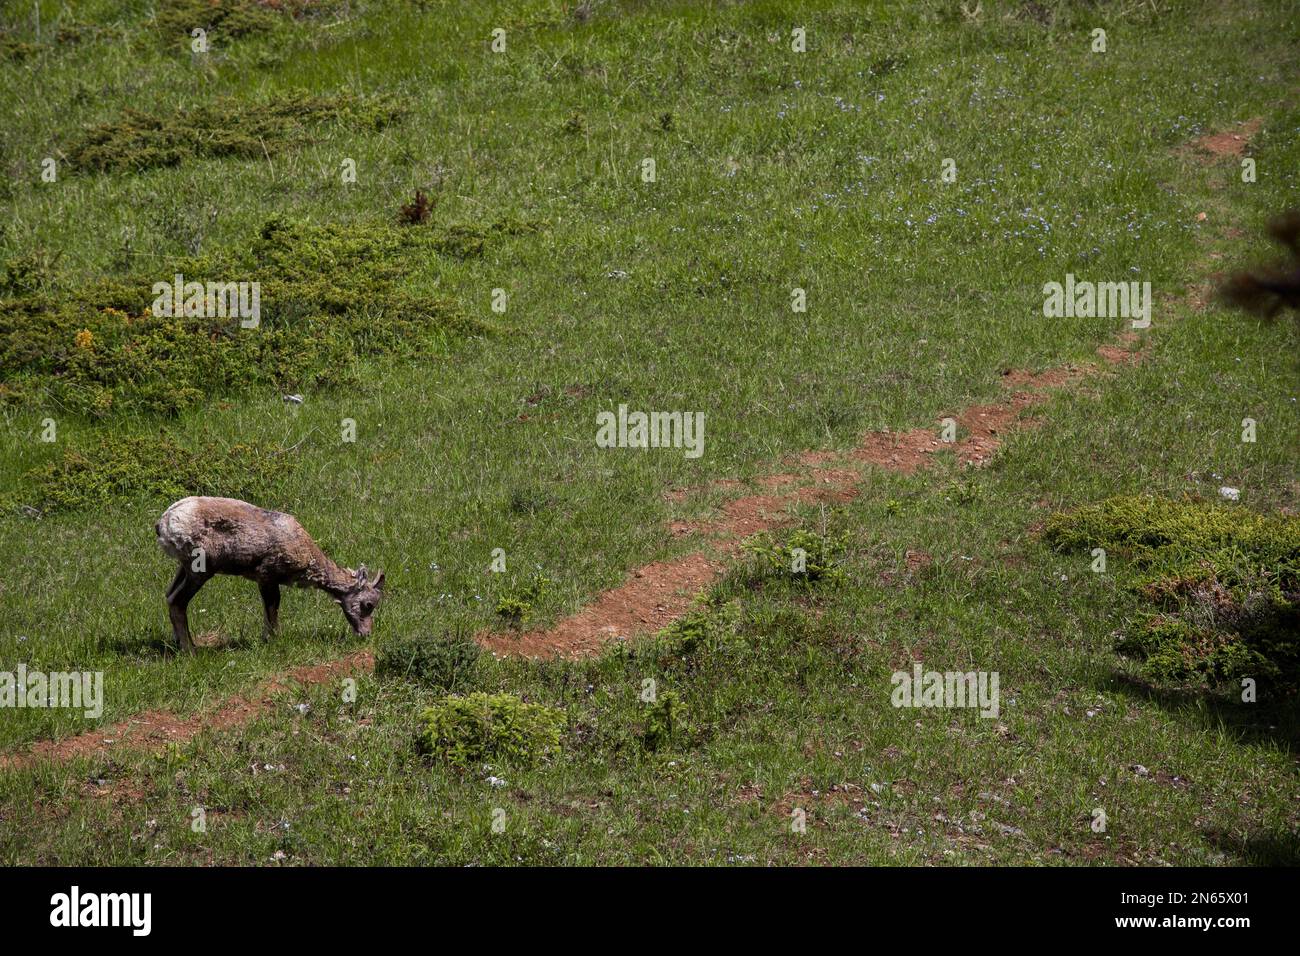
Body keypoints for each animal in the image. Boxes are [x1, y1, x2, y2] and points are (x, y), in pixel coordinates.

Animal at [155, 496, 384, 653]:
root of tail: (164, 523)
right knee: (177, 602)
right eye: (368, 604)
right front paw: (272, 639)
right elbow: (272, 606)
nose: (366, 634)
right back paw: (190, 651)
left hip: (184, 569)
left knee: (169, 595)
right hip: (199, 571)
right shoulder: (267, 577)